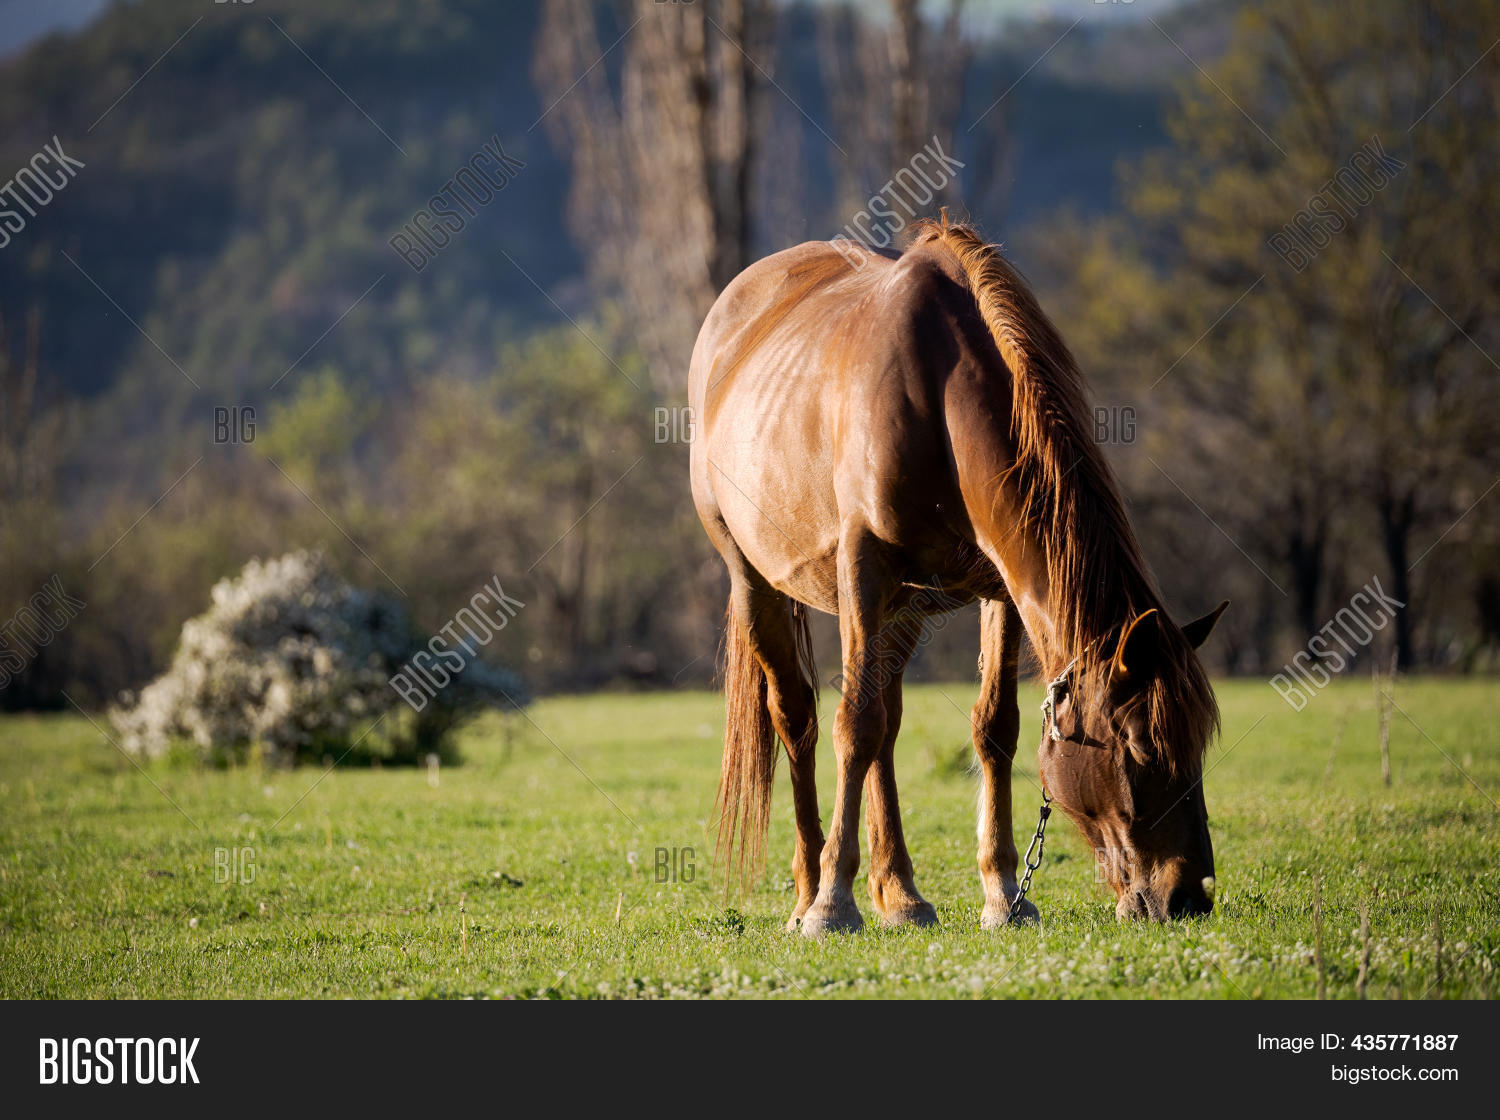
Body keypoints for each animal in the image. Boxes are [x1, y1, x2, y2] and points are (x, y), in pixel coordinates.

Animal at [689, 217, 1228, 935]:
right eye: (1140, 749)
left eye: (1197, 745)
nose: (1188, 895)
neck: (935, 395)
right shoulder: (863, 568)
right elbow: (852, 723)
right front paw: (833, 903)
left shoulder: (998, 589)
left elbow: (992, 727)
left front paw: (1003, 894)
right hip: (756, 582)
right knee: (800, 719)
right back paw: (809, 891)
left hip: (901, 610)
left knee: (887, 723)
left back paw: (900, 894)